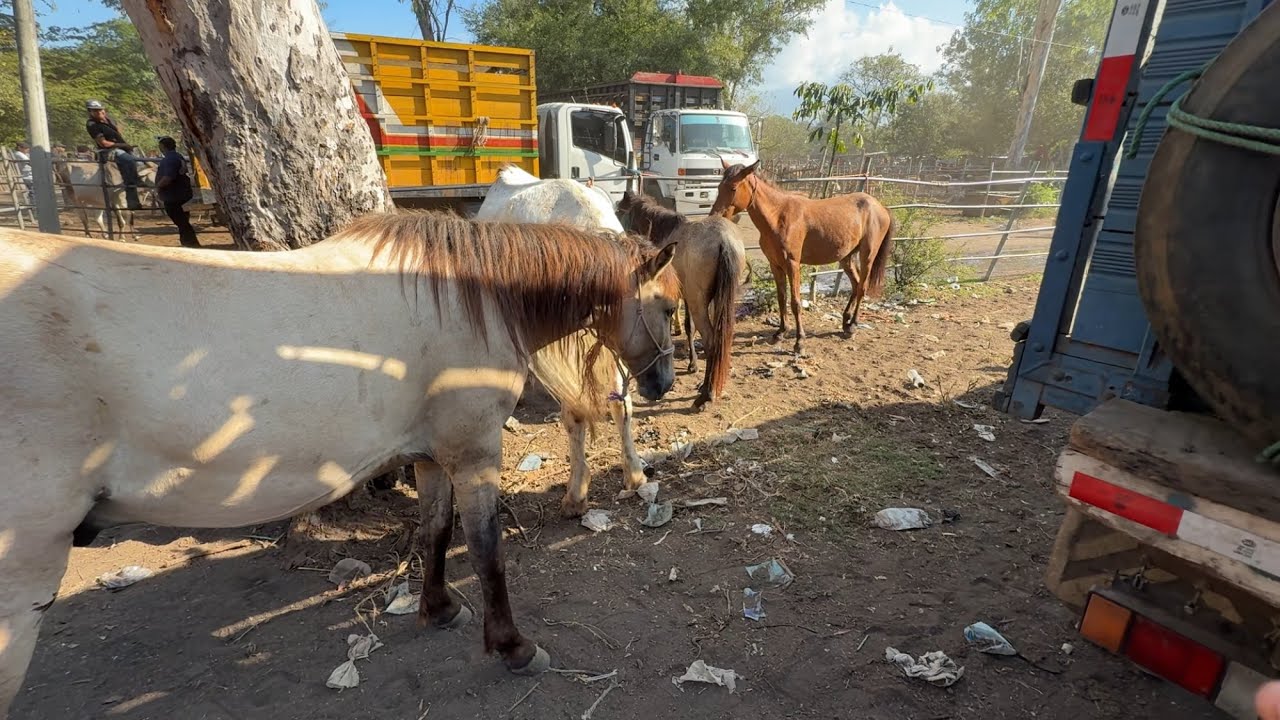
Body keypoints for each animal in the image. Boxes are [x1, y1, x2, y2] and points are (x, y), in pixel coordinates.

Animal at [0, 213, 680, 715]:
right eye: (670, 309)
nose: (662, 384)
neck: (468, 296)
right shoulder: (473, 451)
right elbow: (487, 550)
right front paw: (512, 646)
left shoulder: (430, 455)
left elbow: (433, 533)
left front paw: (438, 610)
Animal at [617, 190, 746, 410]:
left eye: (620, 210)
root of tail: (725, 240)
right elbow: (688, 327)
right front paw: (693, 364)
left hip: (699, 303)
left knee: (711, 341)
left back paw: (706, 394)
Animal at [710, 160, 894, 355]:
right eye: (719, 186)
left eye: (733, 188)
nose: (714, 216)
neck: (778, 216)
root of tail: (880, 207)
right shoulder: (775, 265)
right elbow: (782, 298)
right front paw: (780, 333)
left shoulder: (793, 265)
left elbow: (795, 302)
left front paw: (799, 342)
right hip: (846, 258)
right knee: (856, 284)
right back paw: (846, 322)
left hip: (867, 256)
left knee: (862, 288)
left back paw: (853, 325)